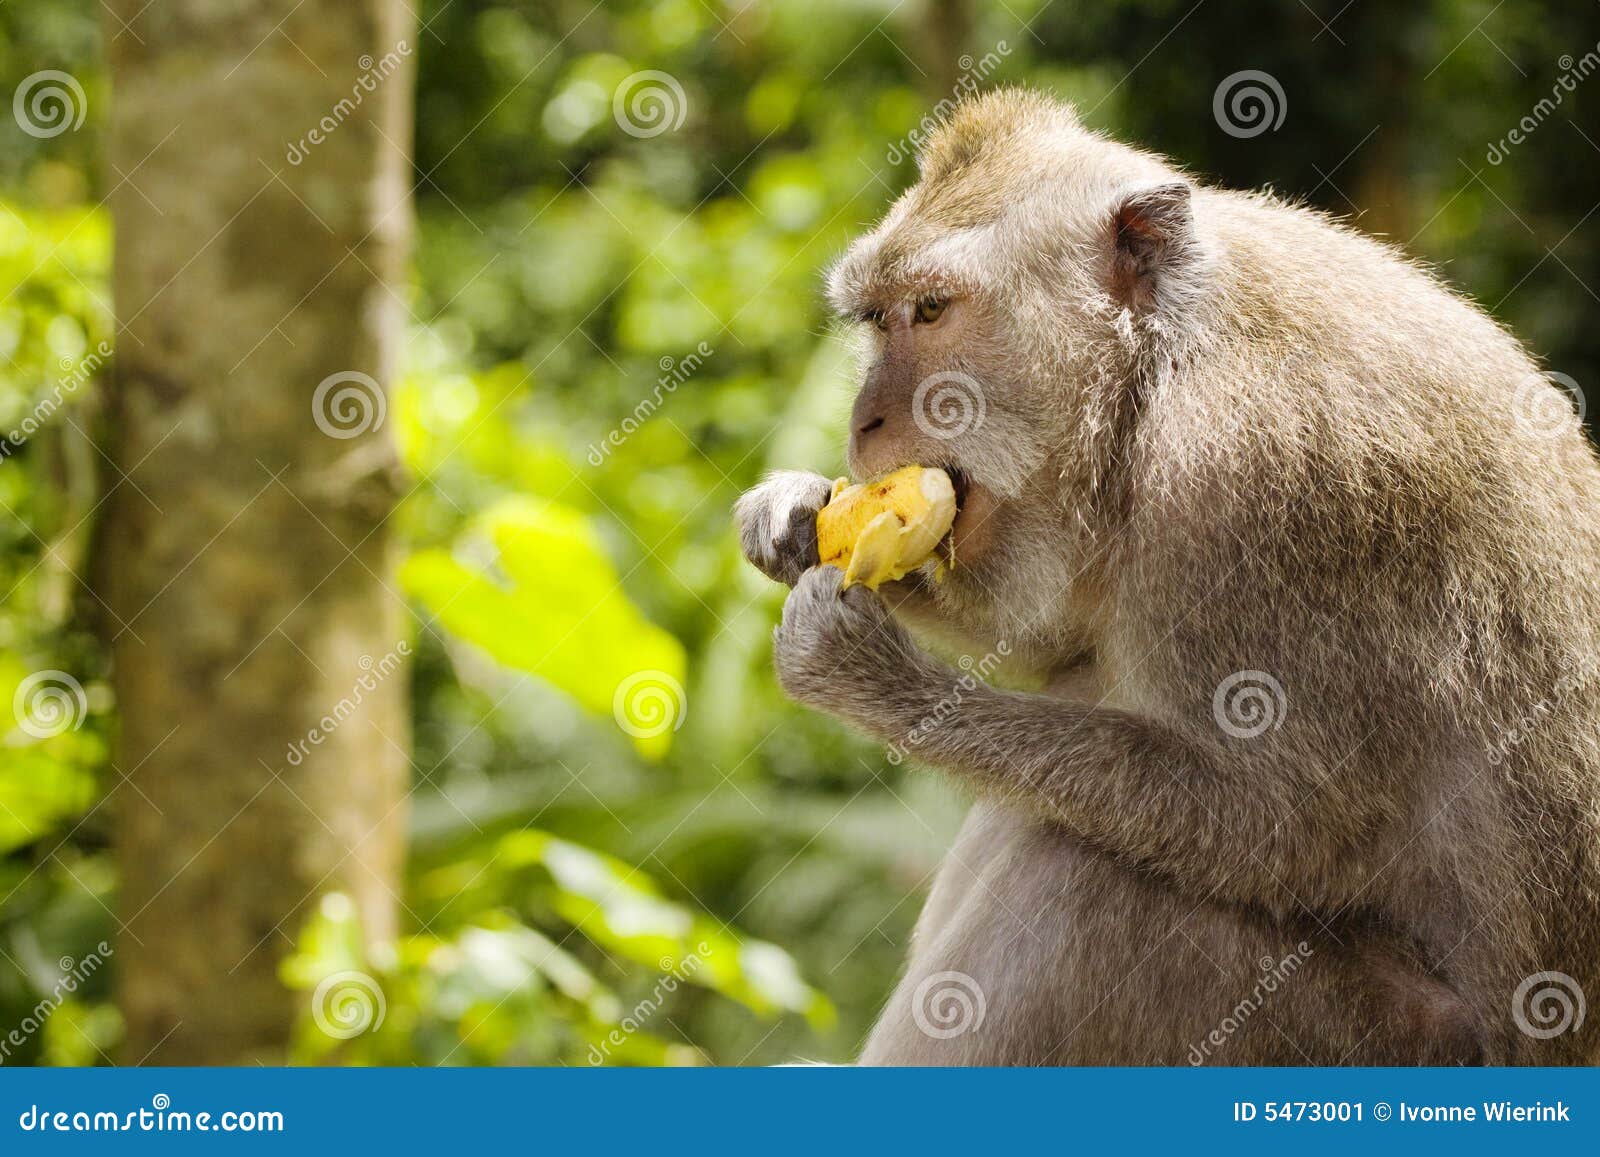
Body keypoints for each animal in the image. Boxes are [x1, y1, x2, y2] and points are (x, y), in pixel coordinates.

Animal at [734, 89, 1600, 1066]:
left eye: (929, 309)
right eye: (878, 320)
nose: (864, 421)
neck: (1163, 364)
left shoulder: (1252, 484)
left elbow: (1289, 829)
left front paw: (871, 676)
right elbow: (1056, 639)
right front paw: (795, 514)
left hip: (1375, 1040)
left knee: (1090, 877)